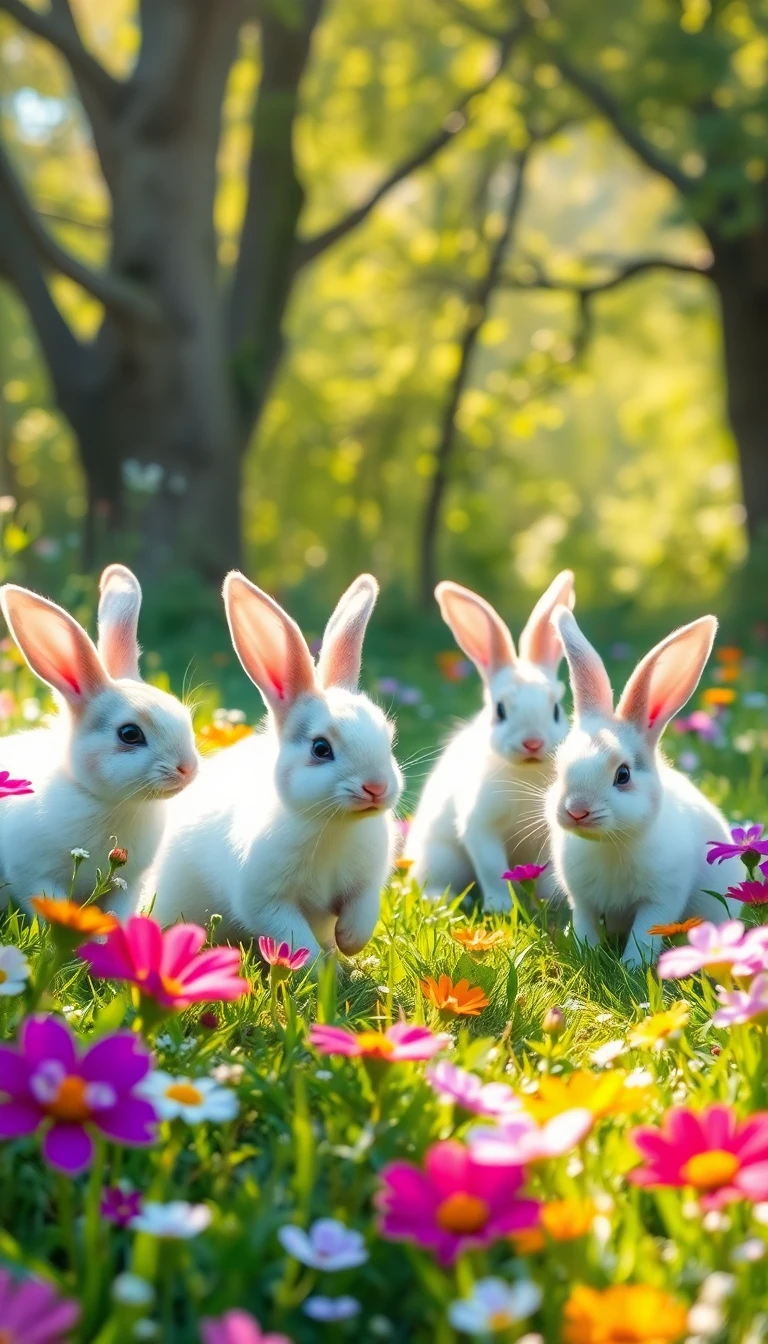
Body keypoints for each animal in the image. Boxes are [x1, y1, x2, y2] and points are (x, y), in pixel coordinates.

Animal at [0, 564, 198, 919]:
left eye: (183, 715)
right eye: (130, 734)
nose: (187, 768)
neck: (103, 800)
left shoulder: (128, 883)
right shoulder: (33, 876)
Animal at [149, 572, 403, 960]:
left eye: (388, 739)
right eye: (321, 748)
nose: (376, 787)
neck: (333, 826)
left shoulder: (366, 885)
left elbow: (362, 913)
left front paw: (347, 941)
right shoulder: (265, 901)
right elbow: (296, 942)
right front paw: (322, 966)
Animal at [405, 572, 575, 912]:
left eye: (555, 709)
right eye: (500, 710)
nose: (533, 743)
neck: (526, 771)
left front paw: (550, 903)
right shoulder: (480, 828)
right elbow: (492, 868)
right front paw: (501, 907)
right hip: (441, 857)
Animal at [545, 607, 739, 968]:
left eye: (623, 775)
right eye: (559, 766)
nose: (576, 810)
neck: (609, 844)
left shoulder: (660, 901)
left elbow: (645, 934)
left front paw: (633, 967)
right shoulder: (583, 902)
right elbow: (586, 927)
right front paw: (586, 954)